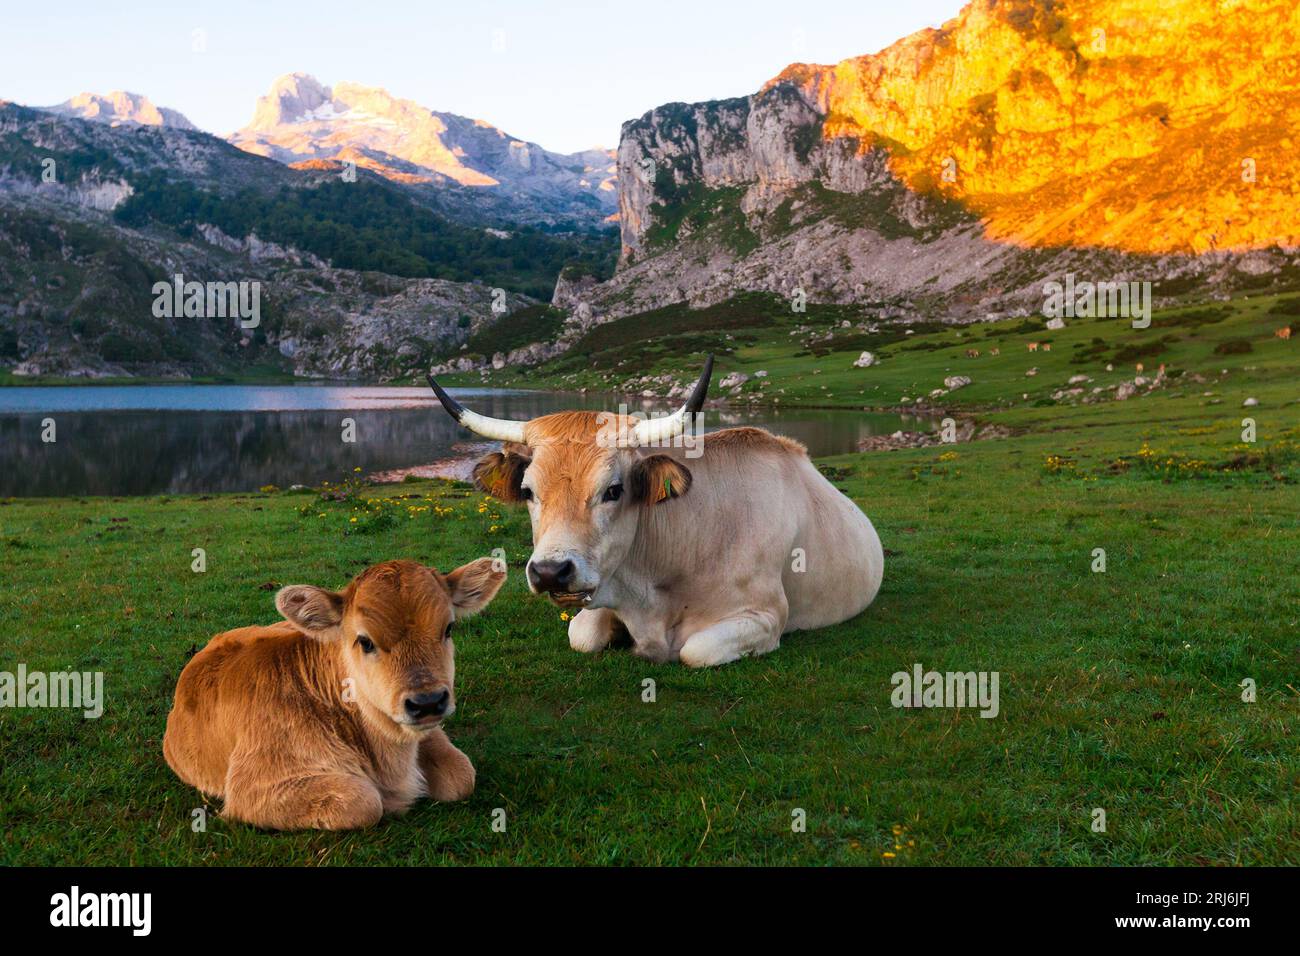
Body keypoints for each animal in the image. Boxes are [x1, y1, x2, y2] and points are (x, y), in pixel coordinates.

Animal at [162, 558, 505, 830]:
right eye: (365, 641)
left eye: (448, 628)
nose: (428, 702)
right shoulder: (251, 789)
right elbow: (365, 801)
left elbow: (462, 775)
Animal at [426, 357, 884, 668]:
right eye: (527, 491)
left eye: (614, 490)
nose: (550, 572)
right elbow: (583, 635)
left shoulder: (766, 616)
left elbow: (696, 651)